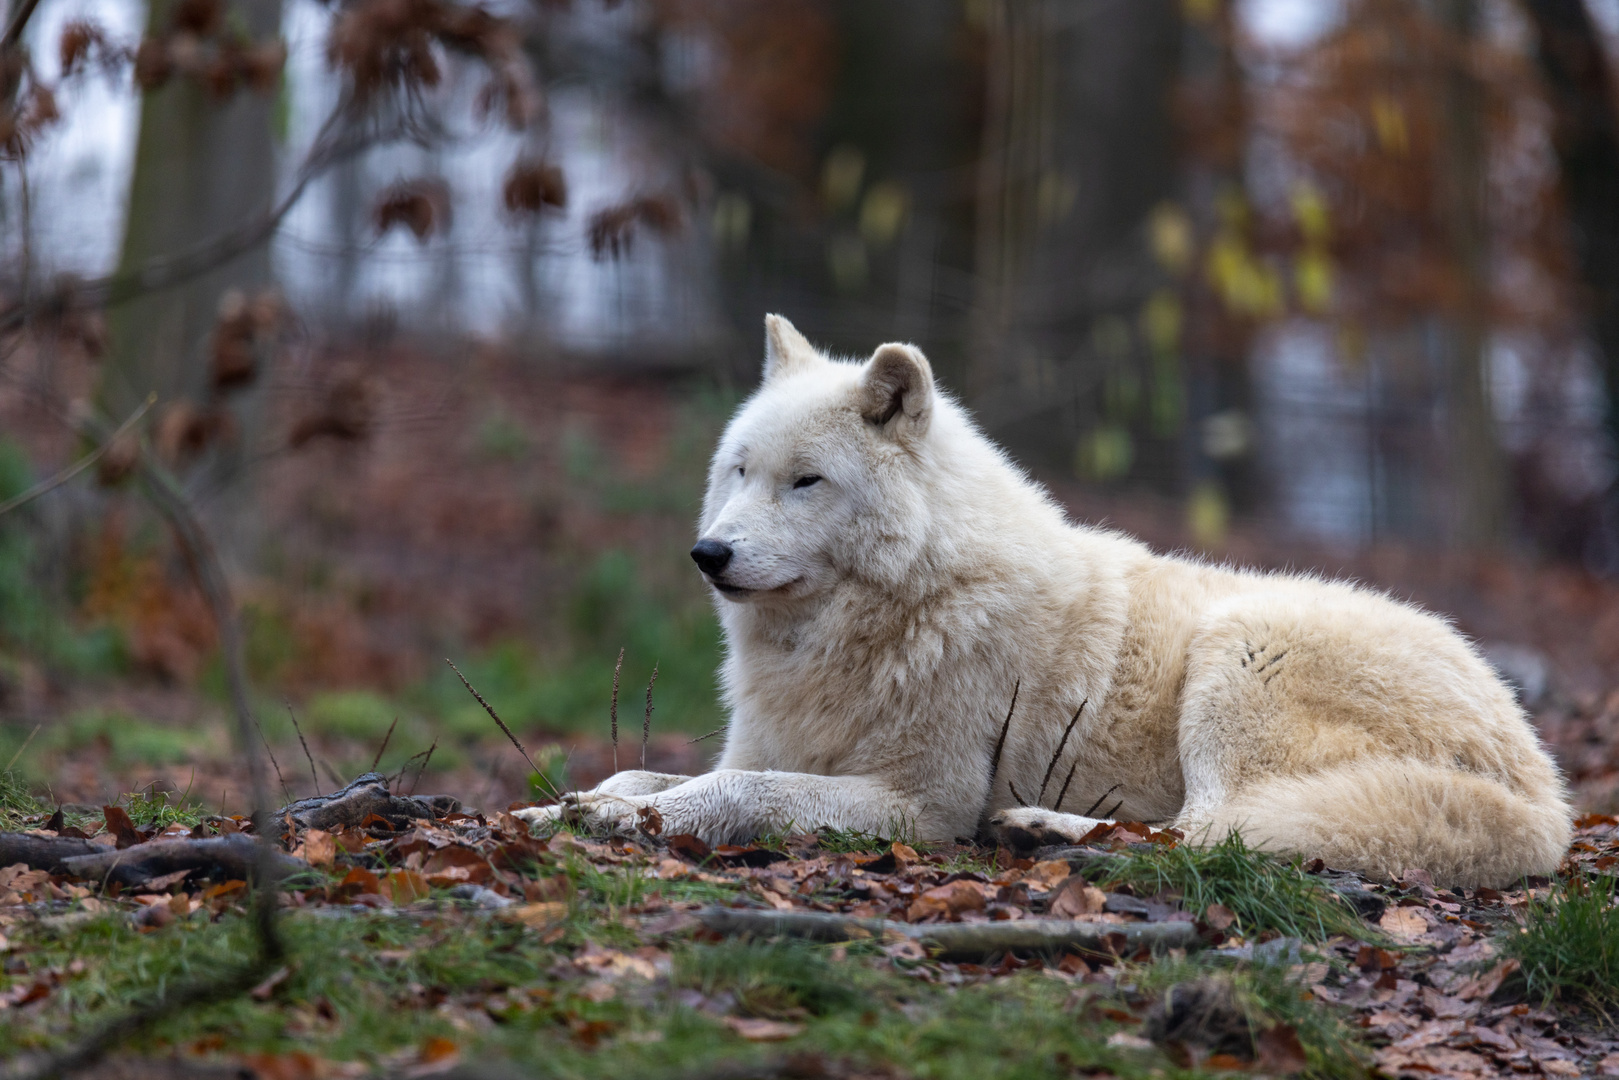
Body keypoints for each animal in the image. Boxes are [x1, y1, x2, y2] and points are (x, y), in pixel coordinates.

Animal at [516, 315, 1572, 887]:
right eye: (738, 471)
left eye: (805, 483)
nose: (710, 553)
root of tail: (1544, 795)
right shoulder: (771, 744)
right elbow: (639, 773)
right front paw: (559, 809)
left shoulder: (920, 804)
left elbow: (737, 794)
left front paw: (619, 825)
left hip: (1236, 658)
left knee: (1212, 834)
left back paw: (1041, 832)